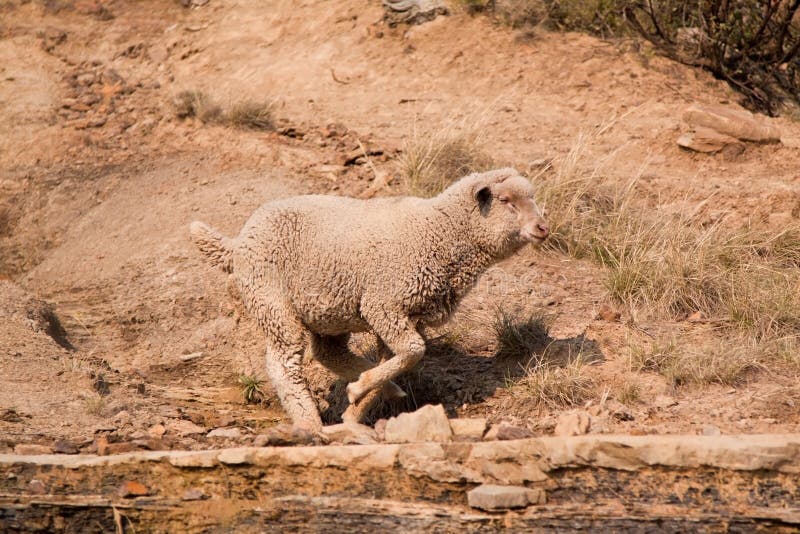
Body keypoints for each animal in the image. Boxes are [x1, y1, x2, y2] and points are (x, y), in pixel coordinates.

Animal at [190, 168, 549, 431]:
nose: (543, 227)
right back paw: (308, 420)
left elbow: (399, 358)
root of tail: (237, 242)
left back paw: (371, 386)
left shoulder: (404, 314)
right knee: (284, 364)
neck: (439, 231)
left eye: (533, 197)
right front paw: (360, 391)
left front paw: (358, 404)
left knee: (327, 353)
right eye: (506, 200)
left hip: (326, 311)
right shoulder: (383, 303)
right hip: (271, 300)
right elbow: (414, 351)